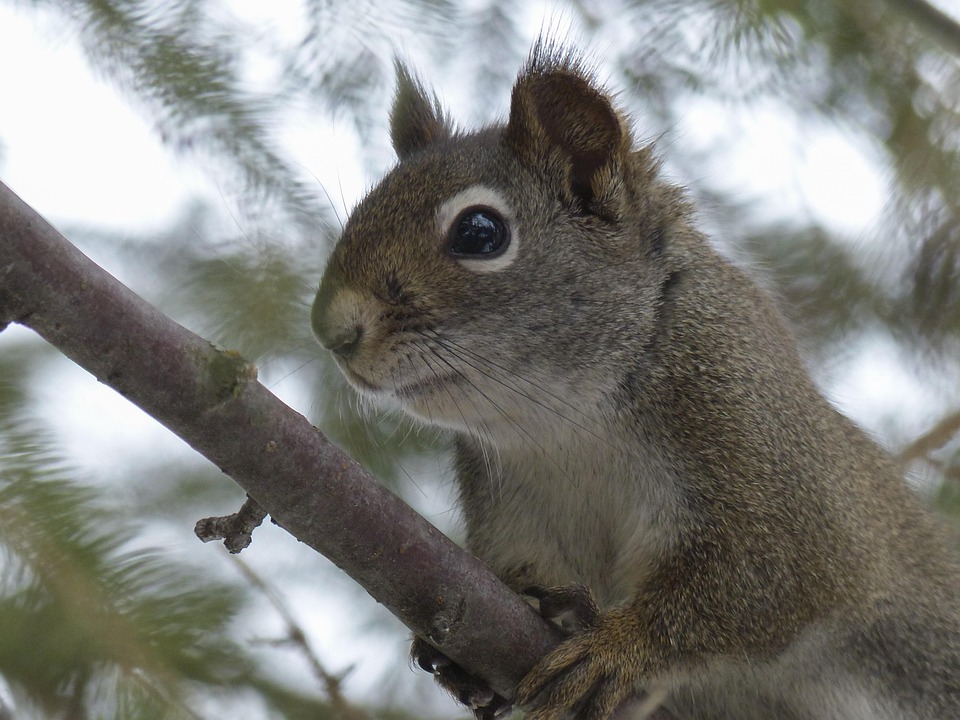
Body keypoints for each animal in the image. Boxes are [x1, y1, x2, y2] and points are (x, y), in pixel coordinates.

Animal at [311, 40, 960, 720]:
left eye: (479, 232)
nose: (331, 330)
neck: (568, 421)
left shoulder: (778, 479)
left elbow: (763, 584)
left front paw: (621, 645)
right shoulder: (516, 516)